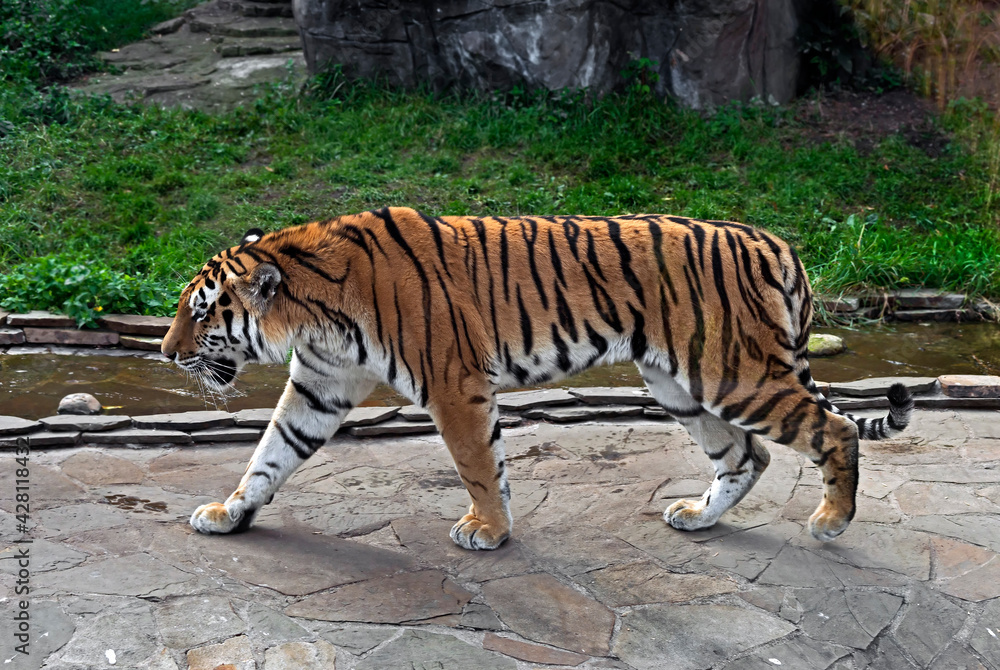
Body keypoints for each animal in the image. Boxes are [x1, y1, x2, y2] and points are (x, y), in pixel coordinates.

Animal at [161, 207, 913, 550]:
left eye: (200, 314)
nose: (166, 353)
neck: (313, 310)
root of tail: (778, 242)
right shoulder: (319, 385)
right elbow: (269, 455)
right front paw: (230, 512)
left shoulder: (453, 383)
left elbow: (477, 464)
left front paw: (487, 531)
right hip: (681, 385)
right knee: (746, 455)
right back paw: (698, 517)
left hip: (735, 374)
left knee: (836, 428)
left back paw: (832, 520)